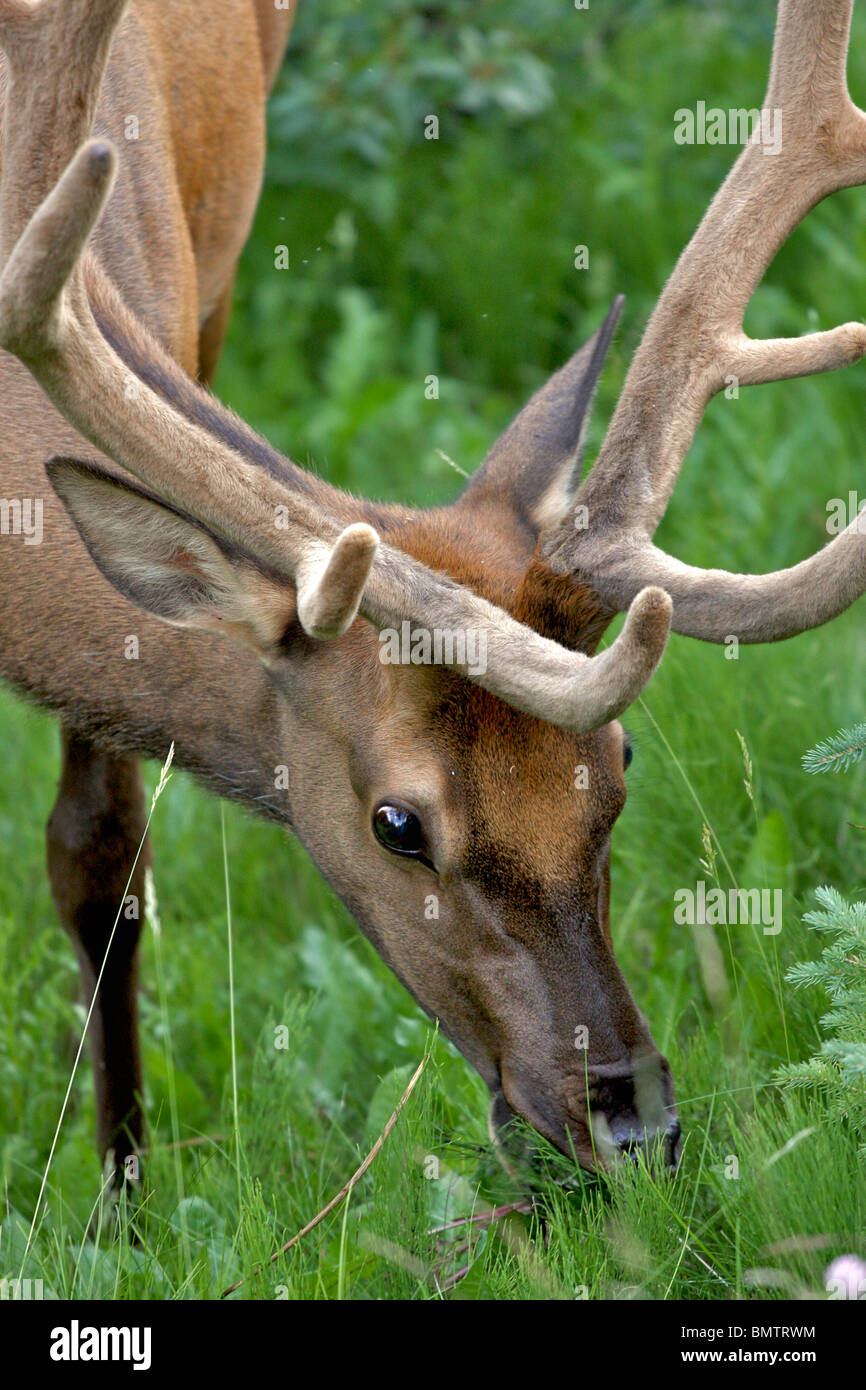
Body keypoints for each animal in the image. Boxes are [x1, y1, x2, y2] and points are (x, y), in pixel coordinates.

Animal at [2, 0, 866, 1201]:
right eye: (397, 825)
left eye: (621, 767)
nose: (634, 1126)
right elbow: (100, 864)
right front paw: (117, 1209)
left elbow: (100, 857)